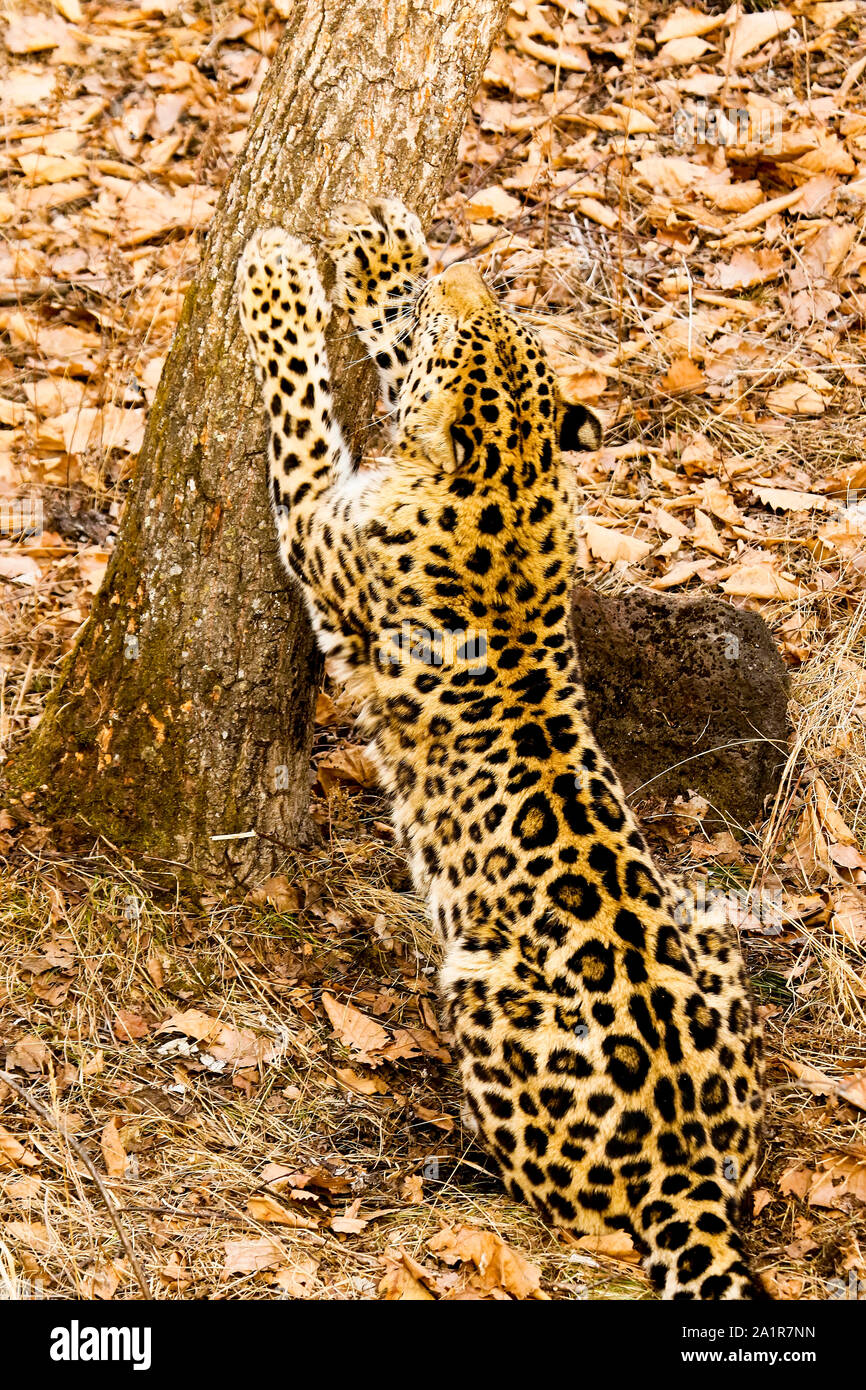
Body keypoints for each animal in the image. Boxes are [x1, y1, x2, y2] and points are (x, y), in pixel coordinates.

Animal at [236, 197, 765, 1300]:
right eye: (502, 322)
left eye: (458, 331)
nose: (464, 278)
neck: (514, 485)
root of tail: (687, 1169)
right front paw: (387, 250)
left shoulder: (317, 520)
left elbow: (306, 403)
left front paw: (282, 280)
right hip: (710, 932)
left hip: (479, 984)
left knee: (570, 1202)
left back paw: (467, 1159)